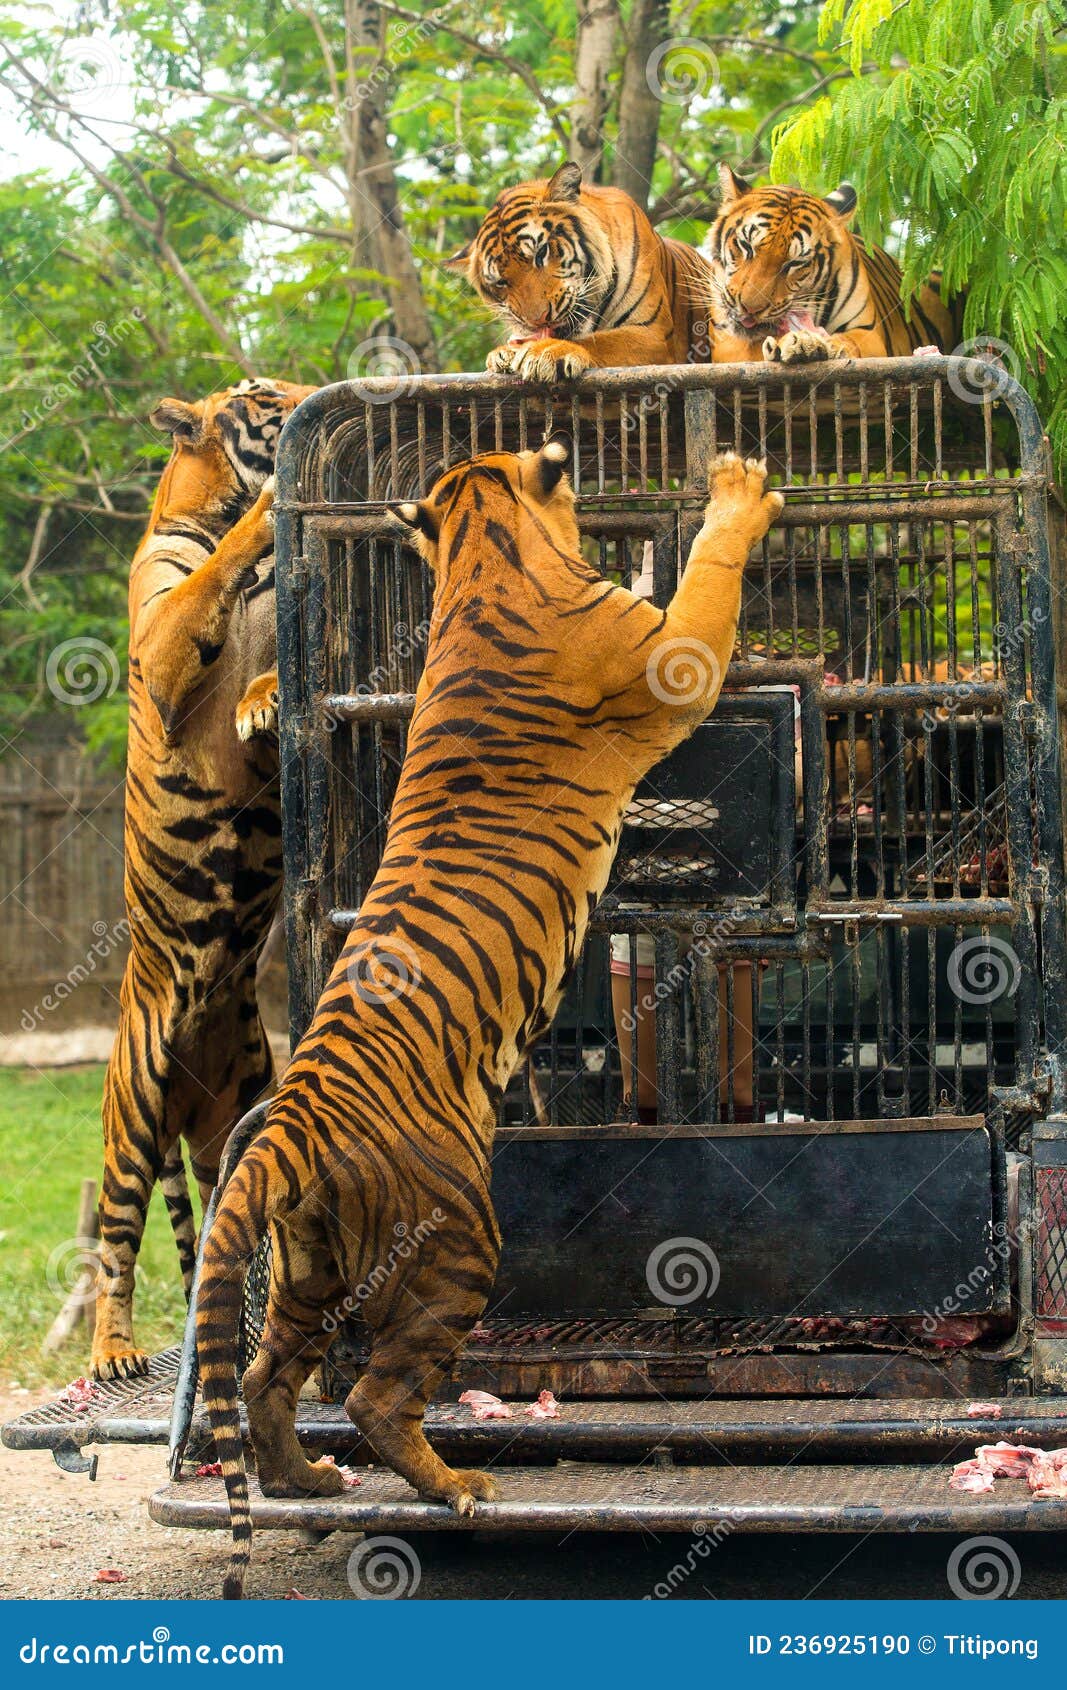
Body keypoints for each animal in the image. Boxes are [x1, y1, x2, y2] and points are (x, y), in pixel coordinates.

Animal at [195, 442, 783, 1598]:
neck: (478, 550)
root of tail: (289, 1121)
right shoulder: (675, 654)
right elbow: (707, 572)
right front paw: (738, 491)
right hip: (455, 1241)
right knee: (374, 1394)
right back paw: (457, 1488)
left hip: (308, 1266)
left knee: (264, 1373)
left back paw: (304, 1480)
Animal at [450, 160, 714, 381]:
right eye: (501, 282)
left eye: (541, 252)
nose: (539, 319)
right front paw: (503, 353)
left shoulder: (654, 335)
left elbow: (602, 341)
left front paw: (546, 350)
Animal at [705, 166, 958, 365]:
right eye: (747, 246)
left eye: (795, 263)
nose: (751, 309)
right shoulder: (726, 341)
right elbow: (753, 346)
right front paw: (796, 343)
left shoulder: (868, 333)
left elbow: (850, 341)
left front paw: (817, 344)